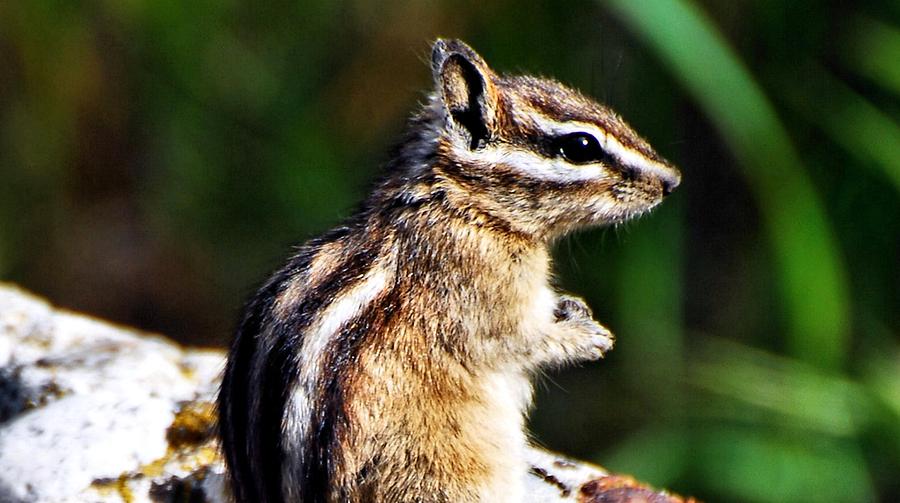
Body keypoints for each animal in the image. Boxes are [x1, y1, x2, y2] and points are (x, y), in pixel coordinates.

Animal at [218, 39, 680, 503]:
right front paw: (588, 336)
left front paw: (574, 308)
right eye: (581, 146)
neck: (458, 205)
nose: (672, 180)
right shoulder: (482, 296)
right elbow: (521, 340)